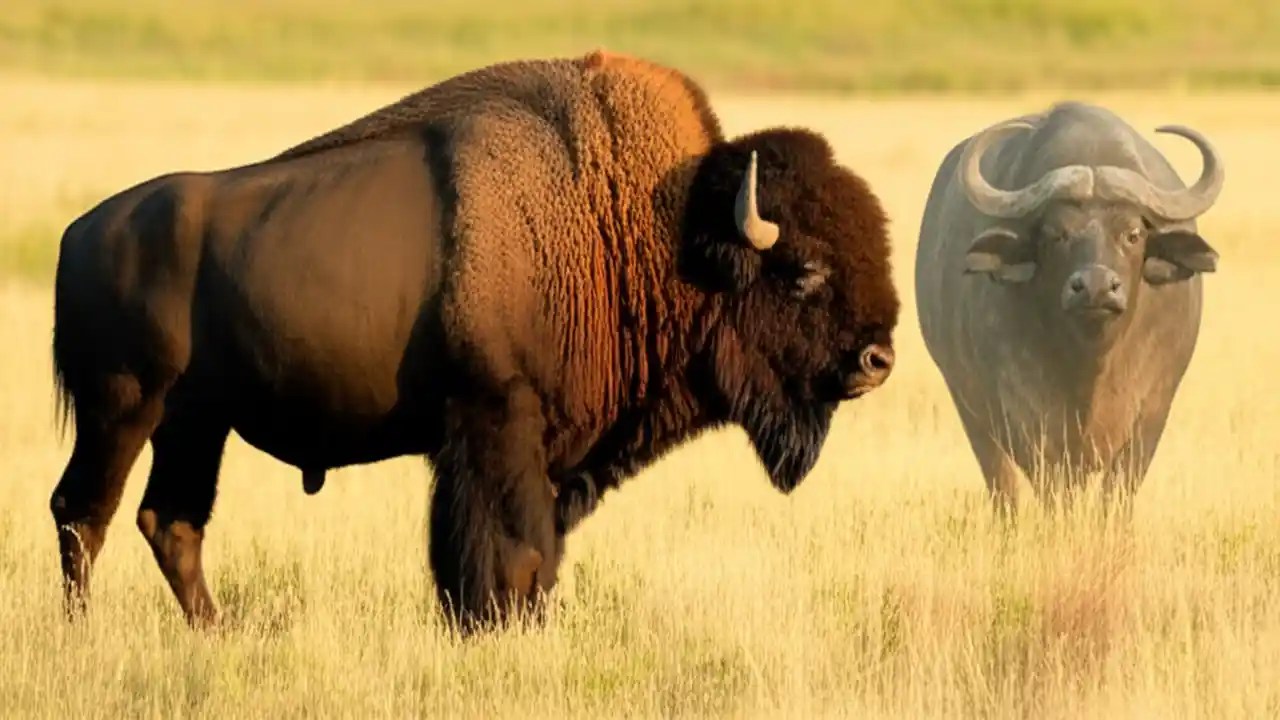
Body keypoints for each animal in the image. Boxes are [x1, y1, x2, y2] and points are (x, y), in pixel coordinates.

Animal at [49, 51, 900, 632]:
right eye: (803, 271)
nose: (877, 360)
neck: (651, 233)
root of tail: (82, 232)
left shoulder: (556, 458)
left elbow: (530, 554)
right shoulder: (496, 423)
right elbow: (507, 554)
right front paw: (497, 627)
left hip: (196, 425)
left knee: (170, 522)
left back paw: (216, 632)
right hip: (123, 410)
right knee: (83, 512)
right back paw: (83, 636)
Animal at [914, 101, 1223, 516]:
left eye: (1133, 233)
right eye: (1056, 234)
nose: (1095, 287)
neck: (1090, 361)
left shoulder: (1151, 413)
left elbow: (1117, 493)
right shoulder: (1028, 420)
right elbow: (1052, 490)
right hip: (970, 410)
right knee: (1002, 486)